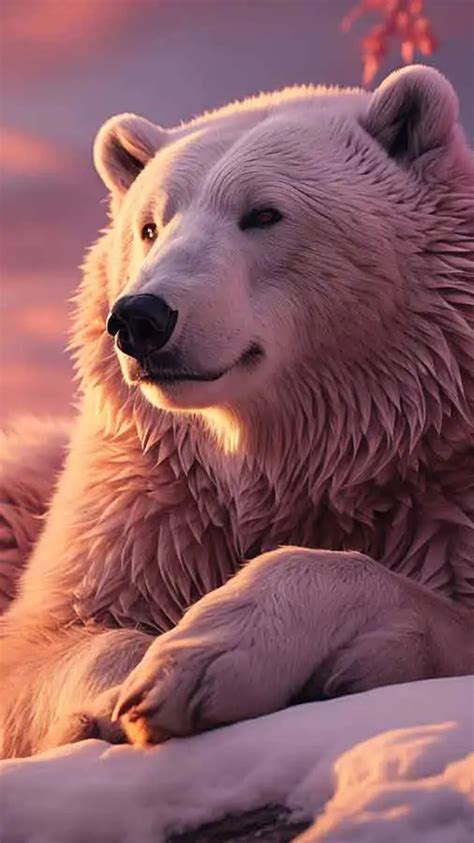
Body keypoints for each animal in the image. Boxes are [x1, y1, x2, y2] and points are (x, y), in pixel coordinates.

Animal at [0, 65, 473, 758]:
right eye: (149, 226)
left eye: (264, 213)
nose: (140, 318)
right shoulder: (152, 503)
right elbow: (44, 641)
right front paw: (134, 685)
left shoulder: (445, 493)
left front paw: (209, 657)